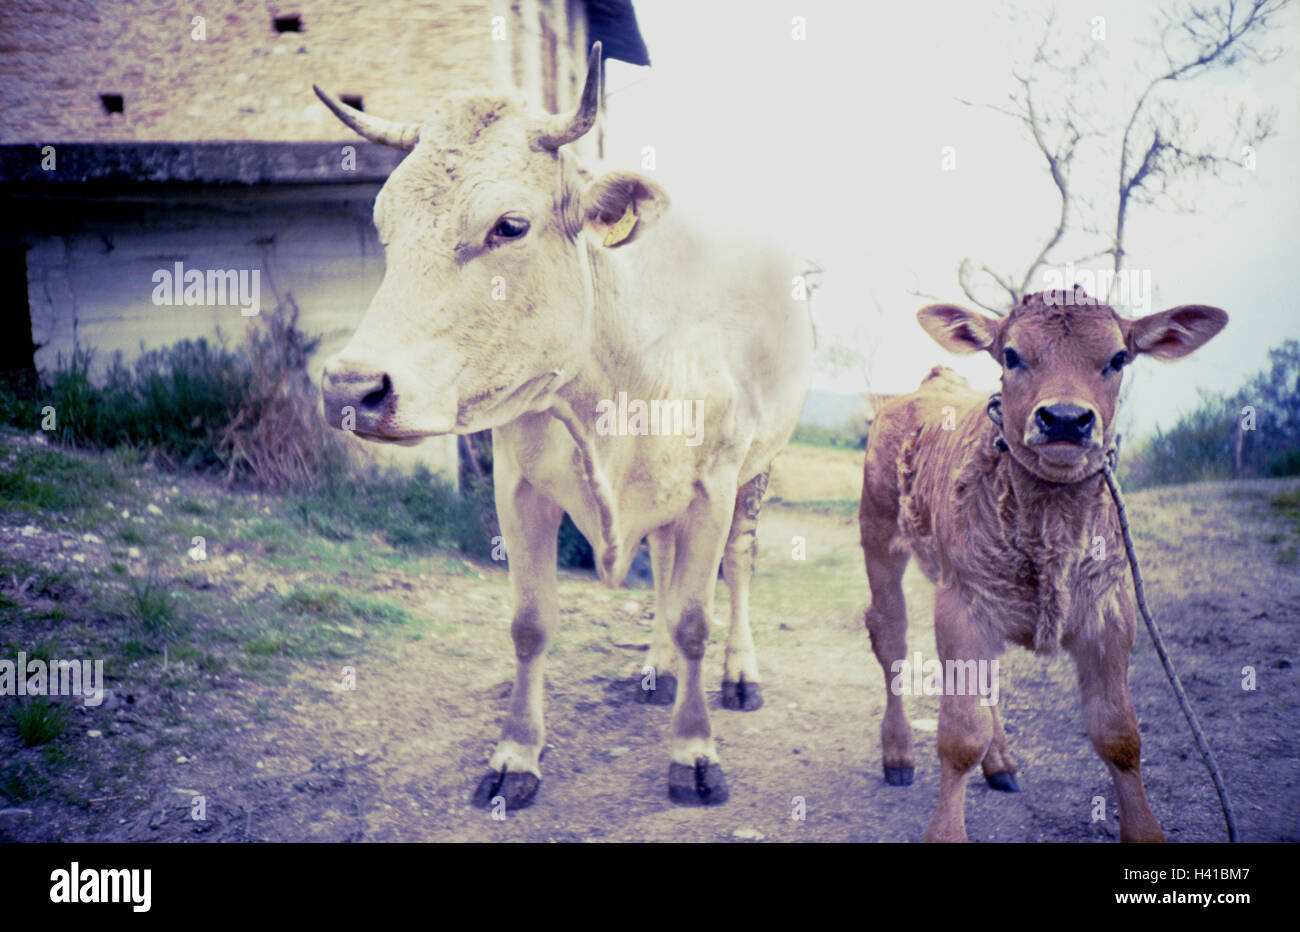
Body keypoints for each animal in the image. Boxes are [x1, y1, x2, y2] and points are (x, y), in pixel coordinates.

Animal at [313, 44, 814, 808]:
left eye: (510, 226)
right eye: (384, 225)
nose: (351, 386)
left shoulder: (714, 486)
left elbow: (697, 618)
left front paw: (694, 751)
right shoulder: (518, 488)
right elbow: (531, 626)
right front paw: (516, 756)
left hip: (759, 471)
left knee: (739, 564)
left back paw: (739, 675)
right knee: (663, 560)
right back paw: (655, 669)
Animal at [858, 288, 1227, 841]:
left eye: (1118, 358)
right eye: (1011, 355)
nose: (1067, 419)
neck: (1052, 527)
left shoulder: (1110, 613)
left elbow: (1119, 734)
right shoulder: (962, 605)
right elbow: (960, 736)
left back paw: (1001, 763)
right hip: (879, 536)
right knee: (890, 637)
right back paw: (898, 751)